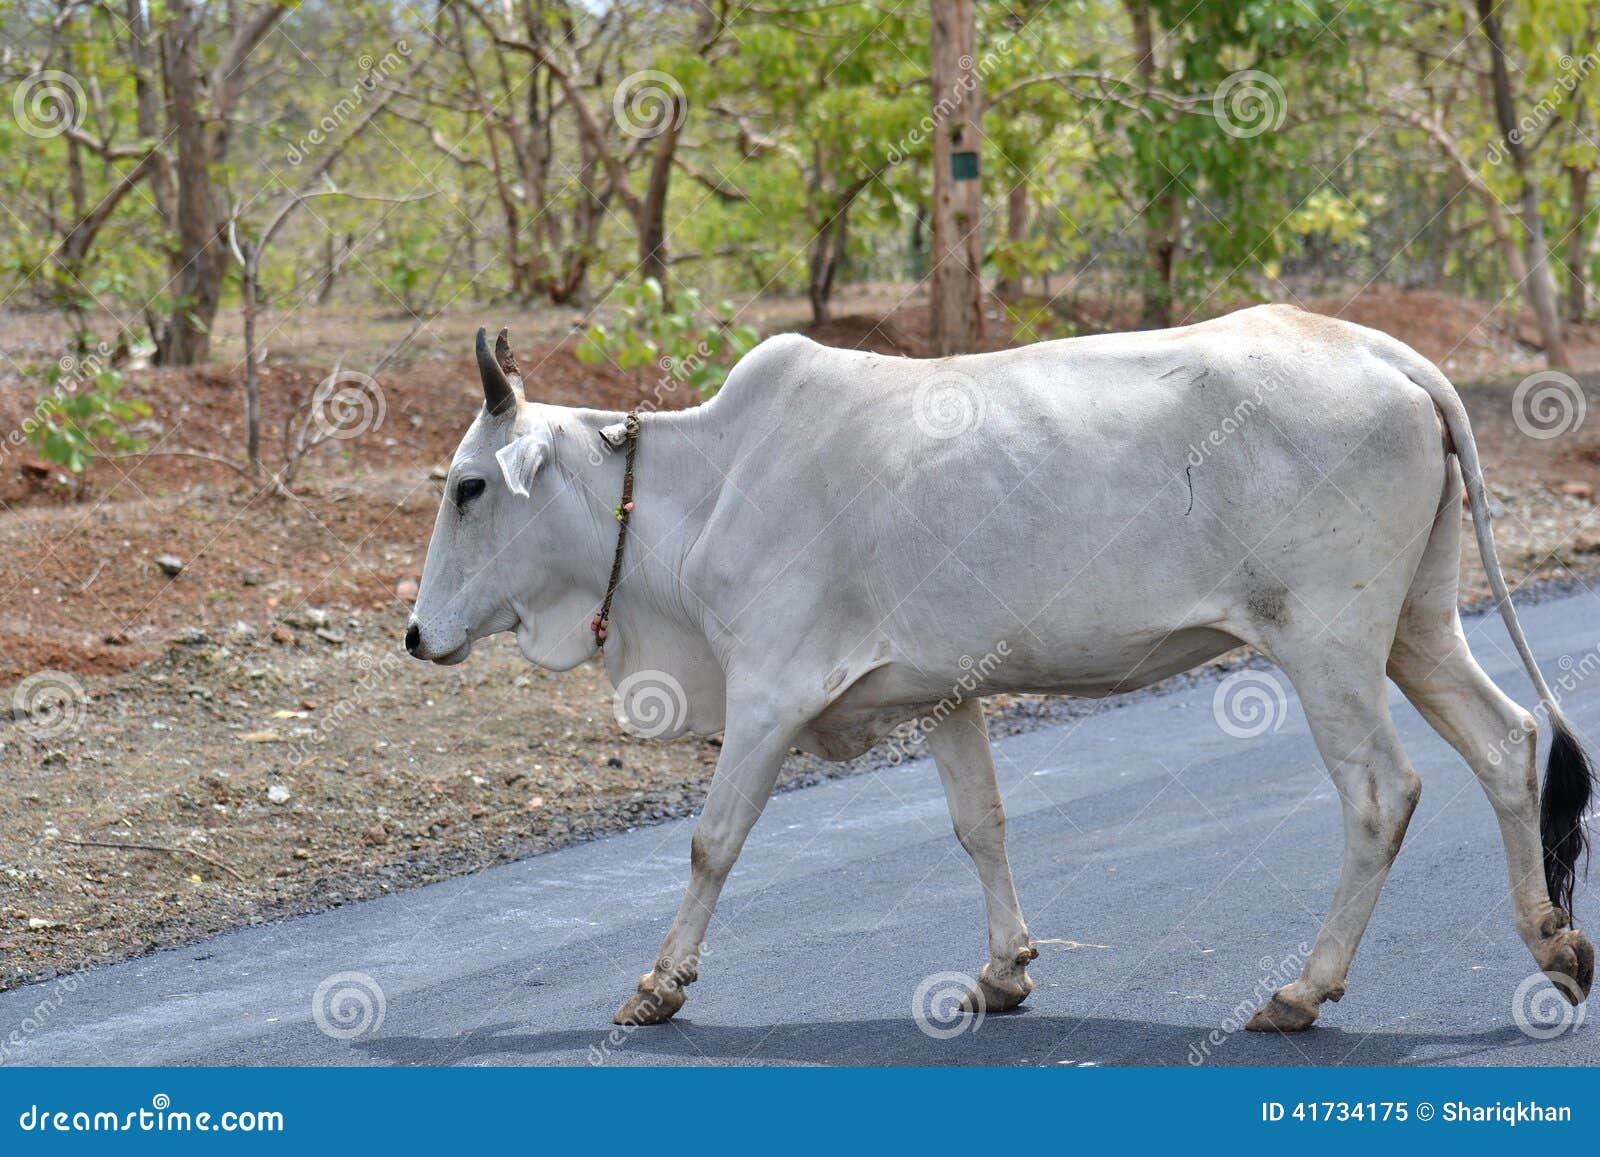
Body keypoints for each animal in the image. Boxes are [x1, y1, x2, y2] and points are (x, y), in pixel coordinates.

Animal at [406, 306, 1593, 1031]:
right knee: (1505, 742)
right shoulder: (945, 691)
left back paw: (1305, 990)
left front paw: (657, 984)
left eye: (470, 486)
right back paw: (1551, 944)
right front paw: (1002, 971)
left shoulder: (770, 693)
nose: (416, 635)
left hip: (1327, 642)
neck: (699, 487)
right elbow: (981, 825)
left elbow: (711, 841)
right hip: (1416, 623)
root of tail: (1391, 356)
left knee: (1381, 793)